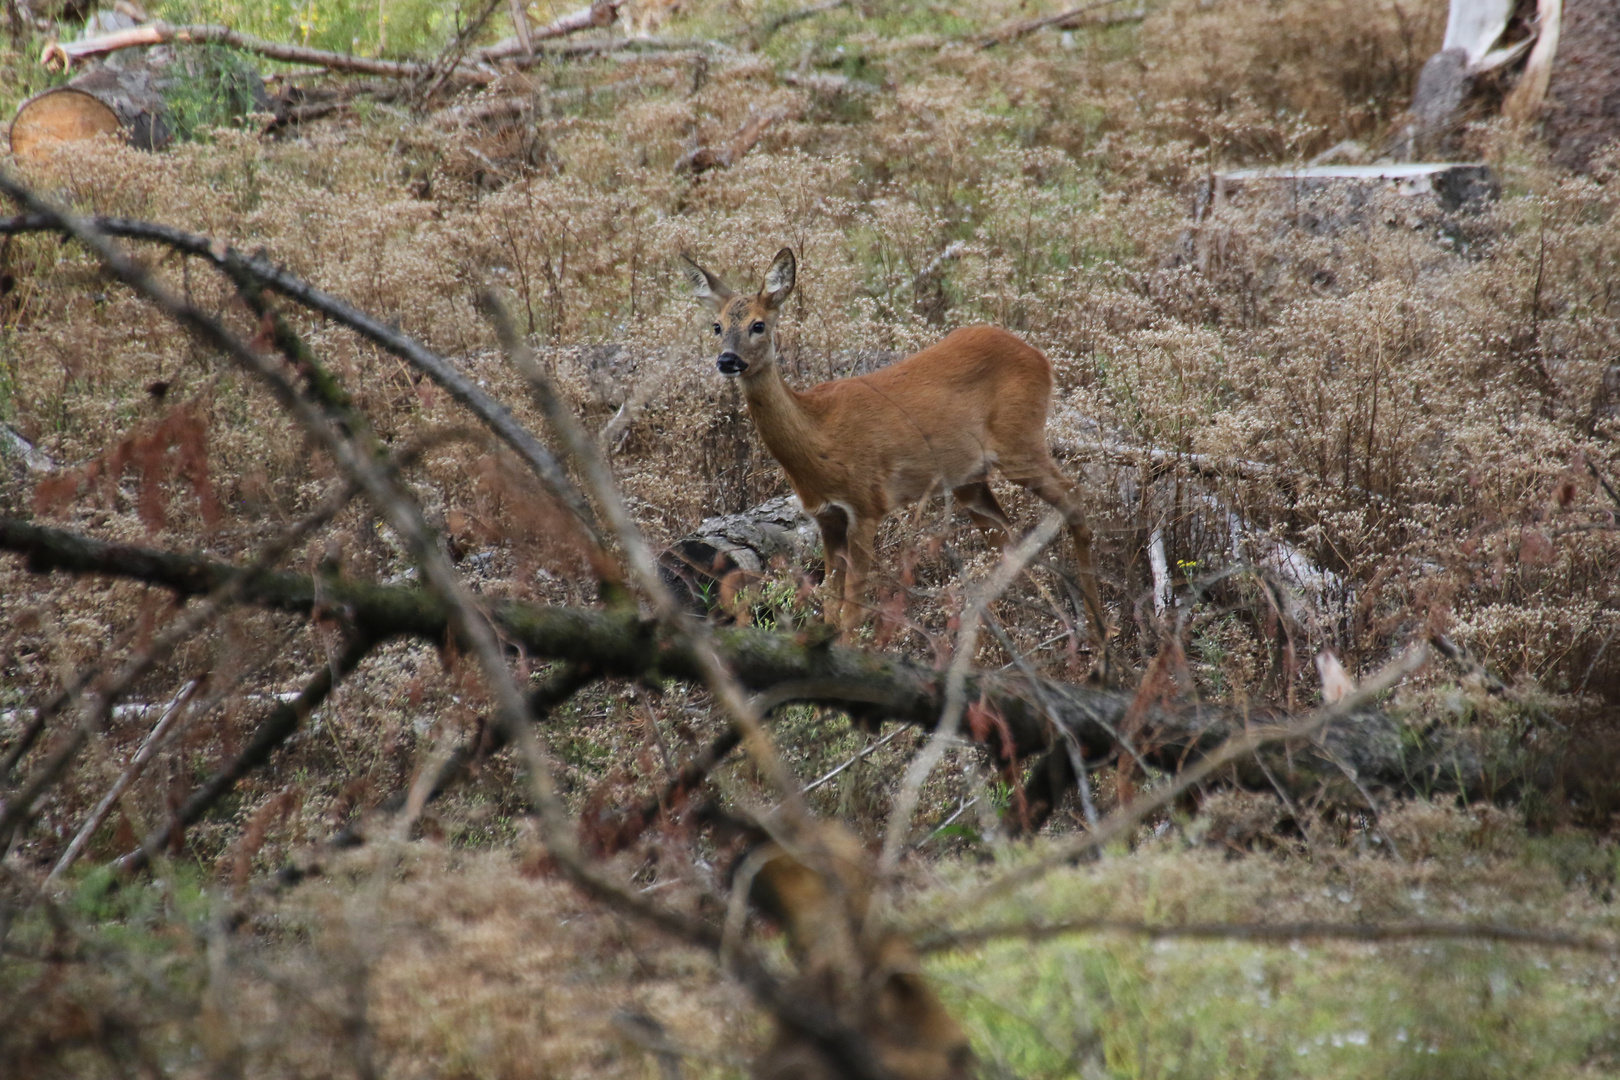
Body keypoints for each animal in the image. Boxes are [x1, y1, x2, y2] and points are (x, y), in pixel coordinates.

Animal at [682, 246, 1110, 673]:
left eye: (758, 325)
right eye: (716, 326)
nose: (727, 361)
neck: (818, 437)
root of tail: (1039, 356)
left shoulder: (866, 505)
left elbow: (852, 610)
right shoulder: (826, 517)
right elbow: (830, 608)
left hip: (1020, 441)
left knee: (1074, 497)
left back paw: (1098, 638)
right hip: (970, 481)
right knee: (1008, 540)